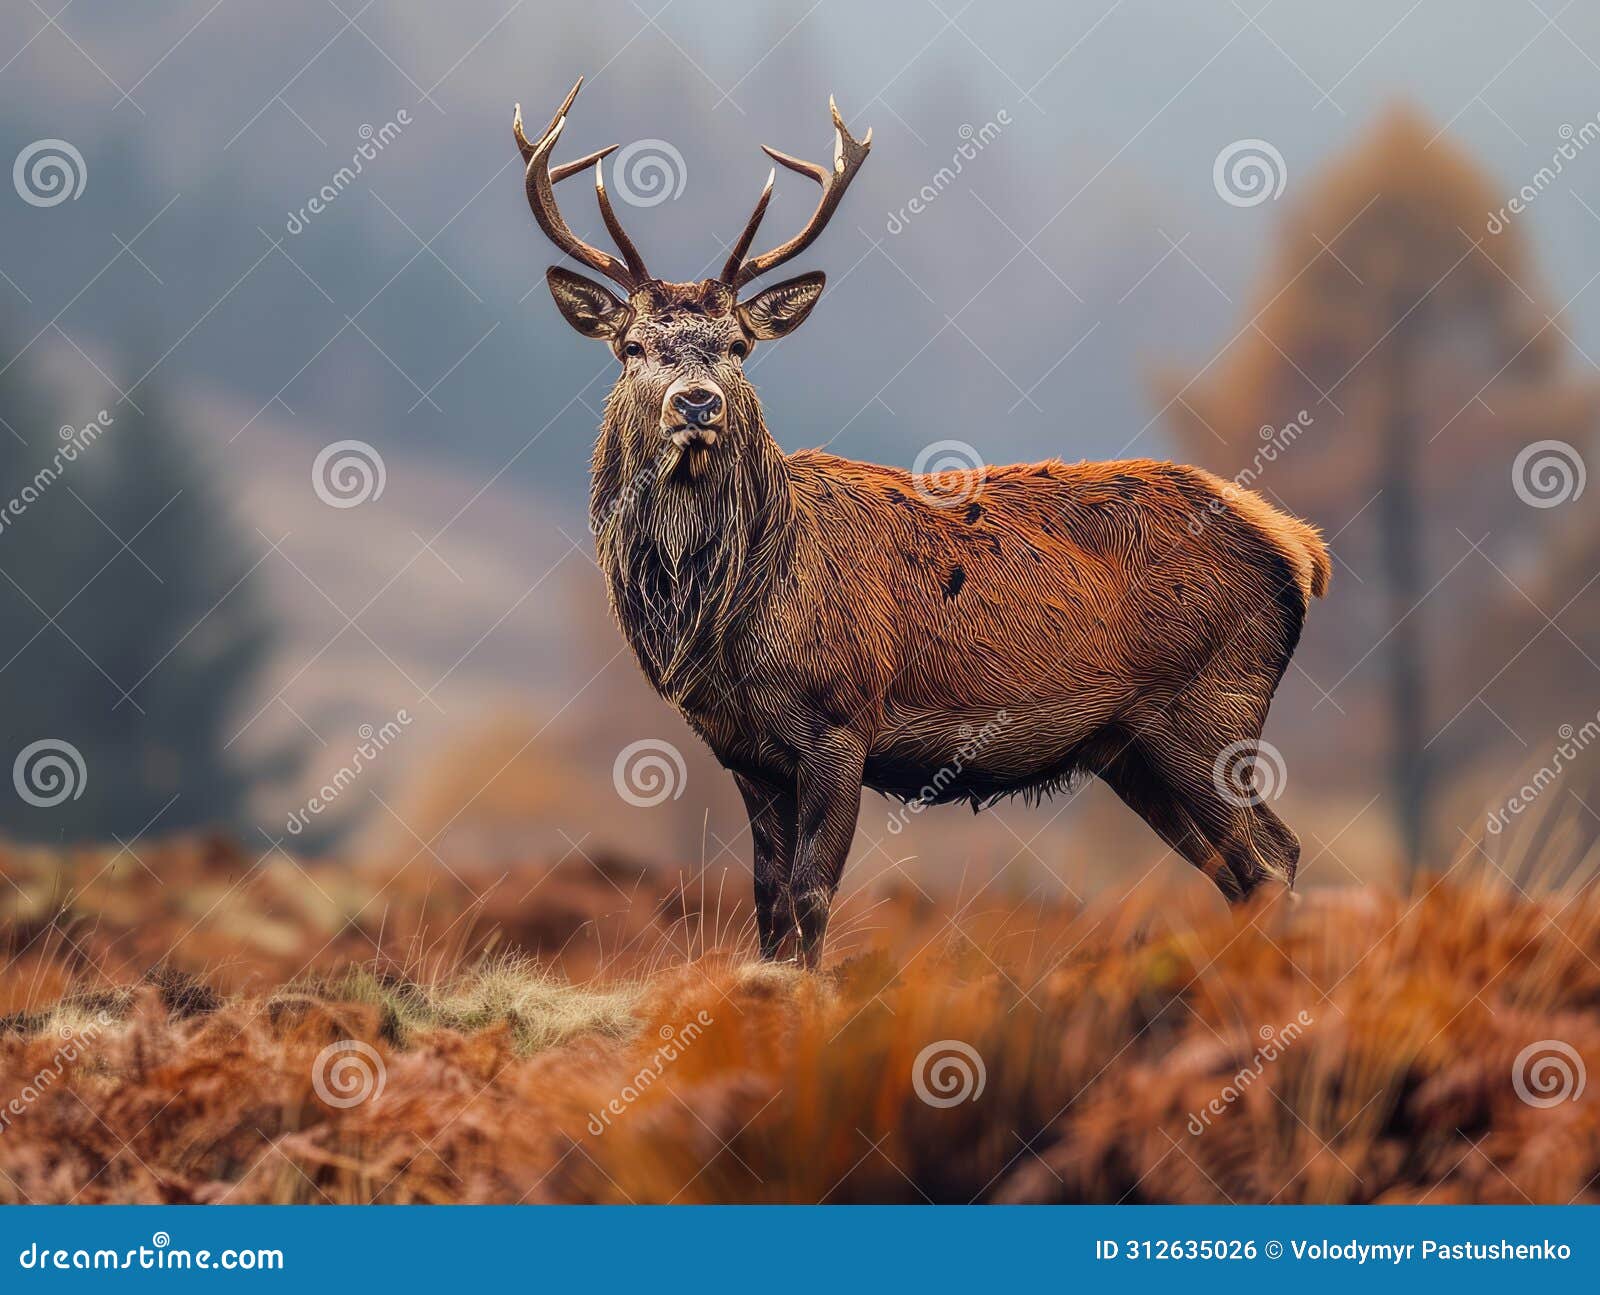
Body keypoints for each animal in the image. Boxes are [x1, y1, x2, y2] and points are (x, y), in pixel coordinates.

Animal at [516, 78, 1331, 970]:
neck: (731, 612)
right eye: (631, 346)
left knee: (1271, 857)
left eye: (738, 345)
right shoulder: (742, 753)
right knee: (1247, 866)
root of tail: (1299, 548)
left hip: (1207, 707)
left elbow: (809, 900)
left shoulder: (842, 720)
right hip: (1131, 747)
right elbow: (767, 910)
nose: (696, 403)